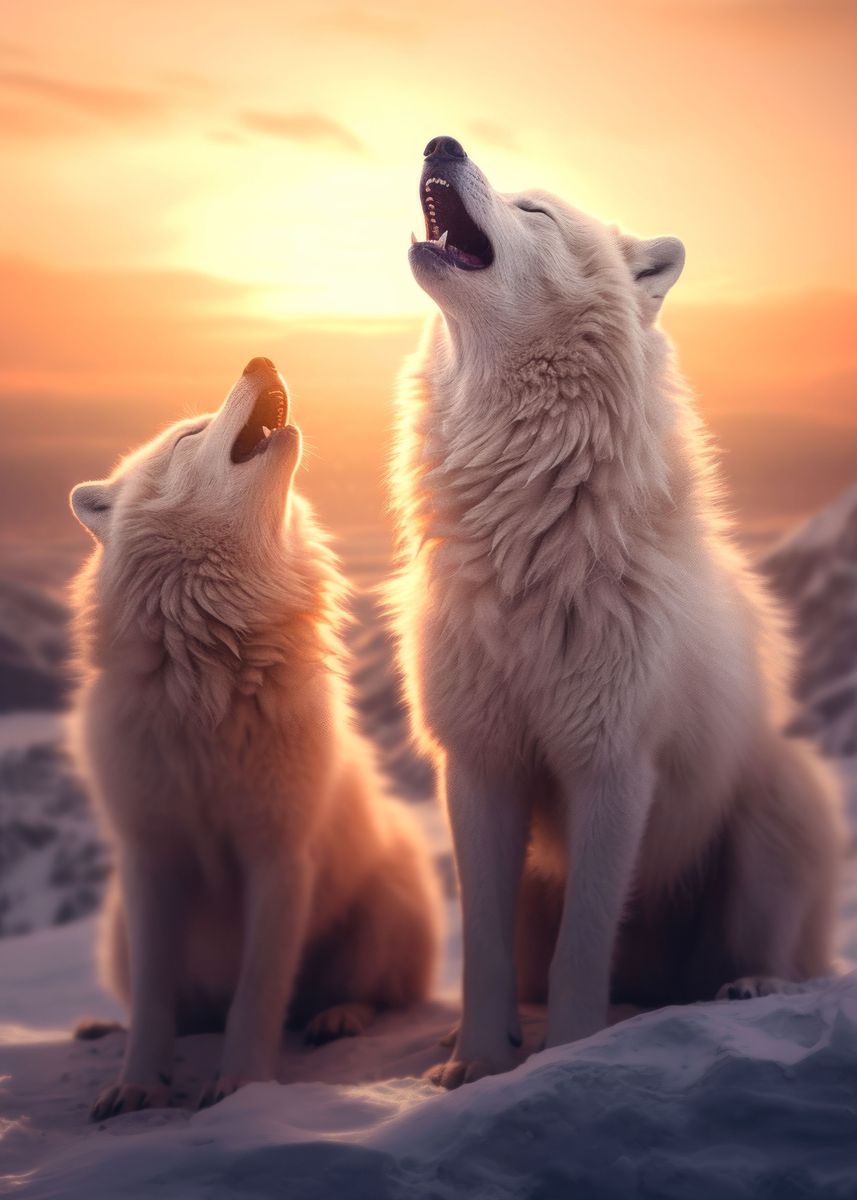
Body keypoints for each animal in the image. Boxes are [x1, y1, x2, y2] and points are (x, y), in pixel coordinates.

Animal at [70, 357, 440, 1118]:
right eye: (188, 435)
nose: (260, 360)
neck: (211, 677)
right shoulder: (151, 860)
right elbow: (153, 1003)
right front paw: (138, 1084)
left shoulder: (279, 858)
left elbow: (260, 992)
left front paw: (239, 1083)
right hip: (118, 932)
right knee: (177, 1008)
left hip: (385, 903)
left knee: (370, 994)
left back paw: (337, 1017)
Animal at [389, 136, 844, 1089]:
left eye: (535, 210)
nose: (440, 143)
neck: (525, 536)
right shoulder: (479, 766)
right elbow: (482, 952)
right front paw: (477, 1062)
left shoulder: (611, 766)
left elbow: (582, 946)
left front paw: (564, 1057)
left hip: (783, 798)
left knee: (777, 955)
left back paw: (748, 986)